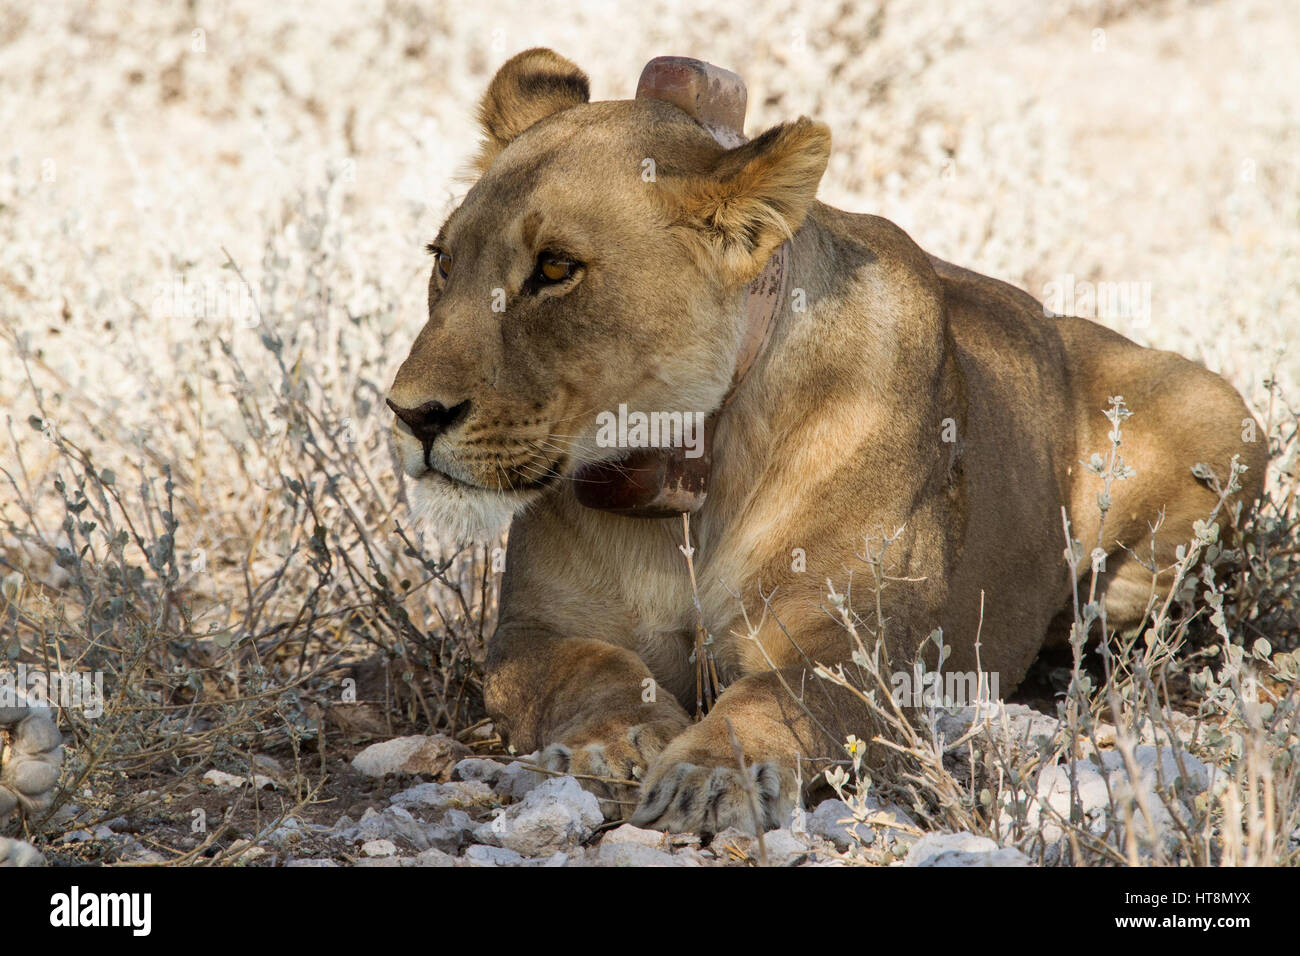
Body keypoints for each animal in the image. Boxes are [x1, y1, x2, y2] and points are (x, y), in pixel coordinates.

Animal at [386, 48, 1266, 834]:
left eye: (556, 268)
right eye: (443, 260)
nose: (409, 414)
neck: (687, 484)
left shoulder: (859, 642)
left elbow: (781, 695)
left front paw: (712, 775)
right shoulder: (532, 628)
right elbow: (580, 668)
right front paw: (620, 735)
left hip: (1218, 413)